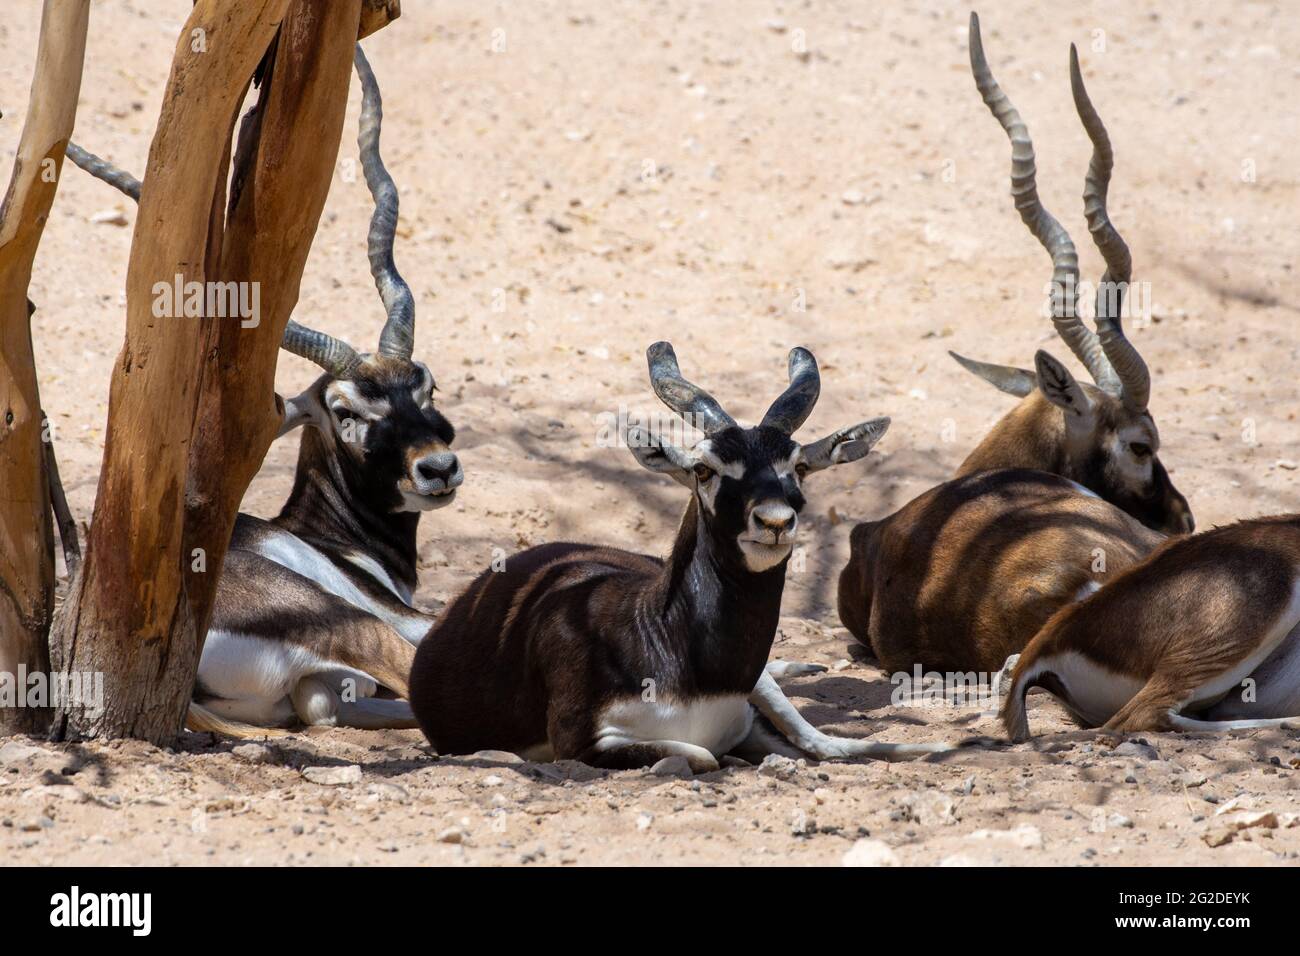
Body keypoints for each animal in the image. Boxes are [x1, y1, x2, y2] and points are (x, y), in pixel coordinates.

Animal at [69, 47, 455, 733]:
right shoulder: (401, 615)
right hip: (349, 625)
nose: (438, 468)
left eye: (425, 385)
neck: (329, 542)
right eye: (345, 411)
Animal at [409, 343, 953, 770]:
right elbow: (703, 755)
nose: (775, 522)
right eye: (704, 469)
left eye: (798, 466)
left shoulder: (748, 719)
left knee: (833, 744)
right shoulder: (583, 744)